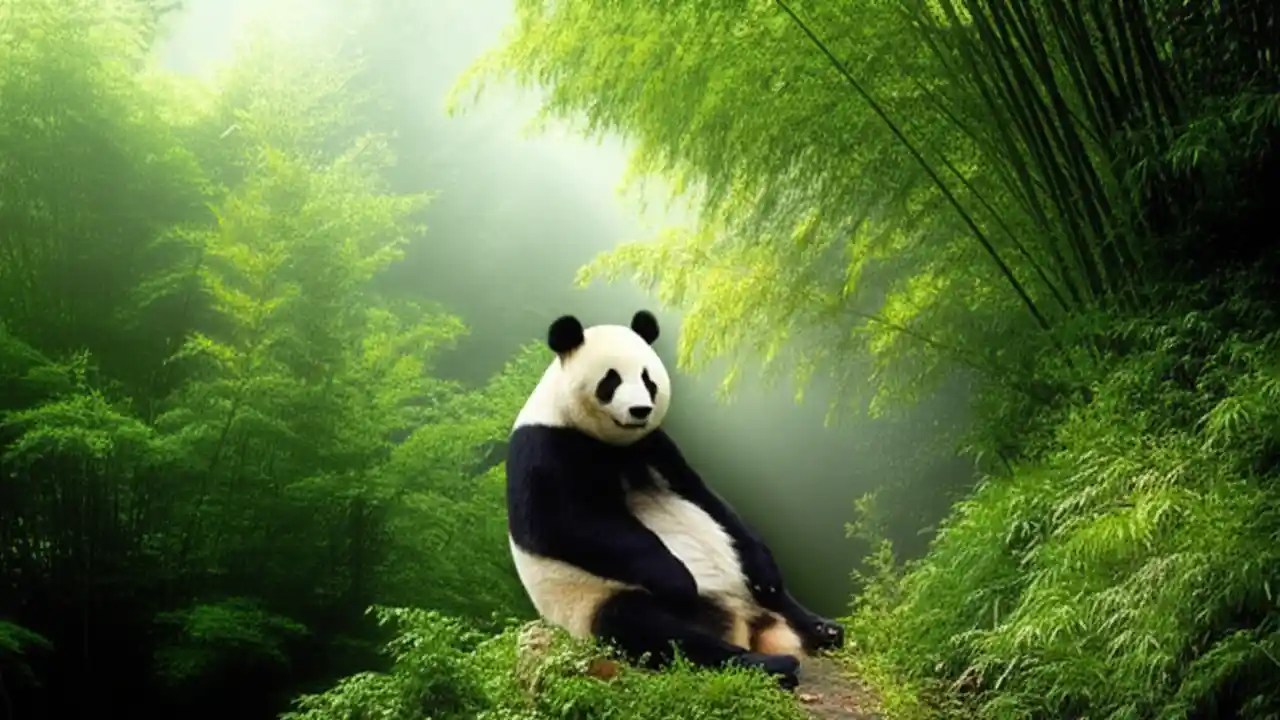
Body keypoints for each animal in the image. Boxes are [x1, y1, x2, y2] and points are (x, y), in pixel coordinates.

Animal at [505, 309, 845, 689]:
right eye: (611, 380)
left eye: (647, 378)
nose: (640, 410)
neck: (608, 443)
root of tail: (744, 622)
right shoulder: (545, 447)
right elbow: (568, 525)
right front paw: (679, 581)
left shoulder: (654, 445)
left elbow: (707, 498)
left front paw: (766, 572)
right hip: (593, 598)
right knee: (653, 630)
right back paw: (770, 665)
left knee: (770, 595)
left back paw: (823, 629)